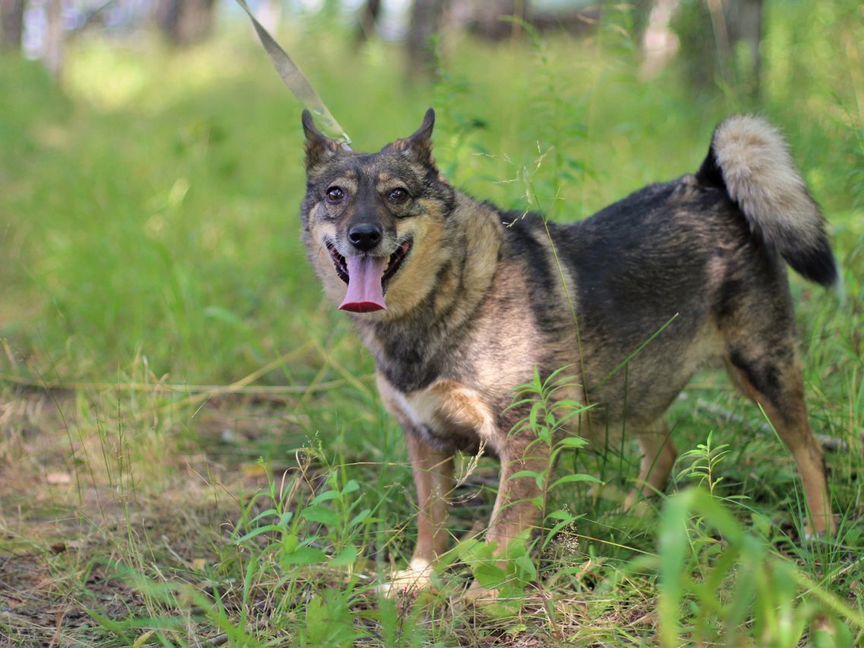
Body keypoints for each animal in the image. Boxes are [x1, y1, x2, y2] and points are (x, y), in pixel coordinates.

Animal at [298, 109, 836, 596]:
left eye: (398, 195)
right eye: (335, 194)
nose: (363, 235)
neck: (450, 295)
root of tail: (706, 181)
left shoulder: (526, 437)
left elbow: (500, 535)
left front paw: (485, 600)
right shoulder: (425, 441)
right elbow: (432, 521)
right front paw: (420, 579)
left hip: (761, 371)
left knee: (810, 452)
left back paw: (822, 534)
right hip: (628, 387)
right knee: (664, 449)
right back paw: (631, 518)